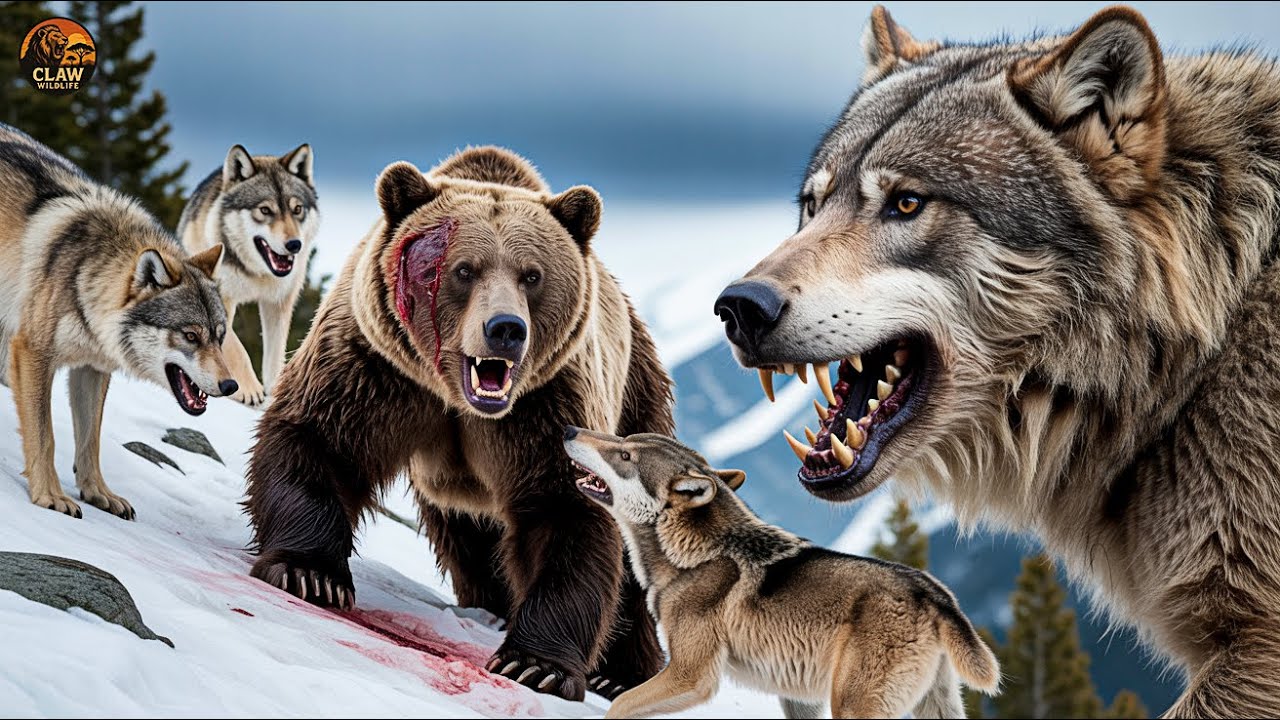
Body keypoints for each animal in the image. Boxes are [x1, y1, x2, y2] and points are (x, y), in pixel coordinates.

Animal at [0, 123, 237, 519]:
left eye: (219, 337)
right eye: (190, 336)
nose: (231, 385)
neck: (84, 278)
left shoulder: (92, 369)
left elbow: (90, 440)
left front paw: (98, 493)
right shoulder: (32, 354)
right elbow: (45, 436)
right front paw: (49, 495)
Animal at [178, 143, 318, 407]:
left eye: (297, 209)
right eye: (265, 210)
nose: (295, 244)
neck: (256, 274)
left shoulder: (280, 303)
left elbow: (275, 354)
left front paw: (275, 394)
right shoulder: (220, 300)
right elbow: (237, 348)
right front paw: (249, 390)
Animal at [243, 146, 673, 701]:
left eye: (531, 274)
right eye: (463, 270)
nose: (506, 328)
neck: (459, 402)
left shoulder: (550, 408)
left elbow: (566, 508)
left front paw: (537, 665)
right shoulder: (374, 370)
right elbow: (320, 442)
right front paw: (310, 573)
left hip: (637, 397)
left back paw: (620, 673)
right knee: (471, 545)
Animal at [564, 427, 999, 719]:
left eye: (626, 456)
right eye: (622, 439)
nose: (570, 430)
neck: (695, 558)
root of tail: (933, 592)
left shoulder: (692, 675)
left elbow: (618, 704)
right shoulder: (798, 697)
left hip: (854, 706)